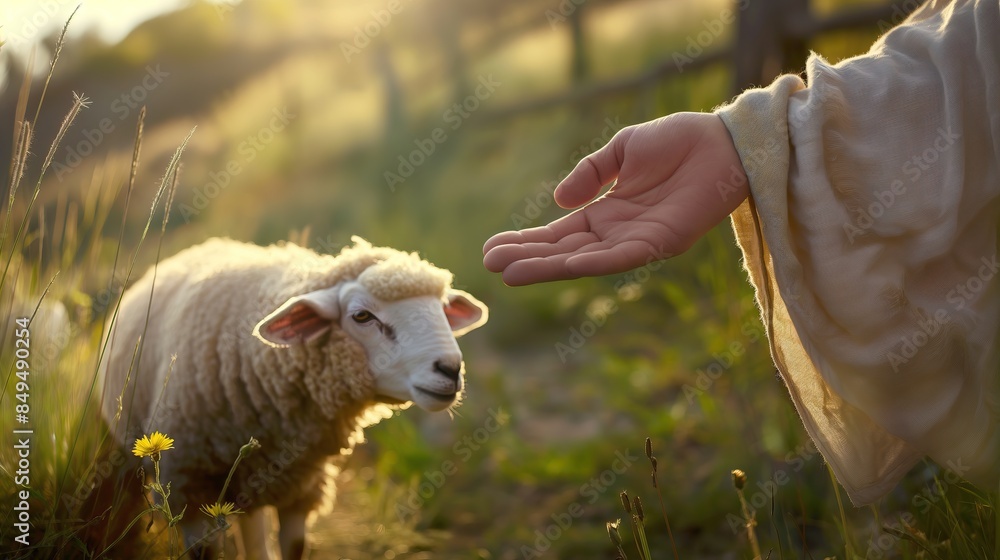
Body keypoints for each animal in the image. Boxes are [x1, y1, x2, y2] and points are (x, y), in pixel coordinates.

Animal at [98, 236, 488, 559]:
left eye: (442, 308)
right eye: (362, 315)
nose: (450, 369)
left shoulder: (302, 488)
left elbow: (294, 548)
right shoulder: (187, 486)